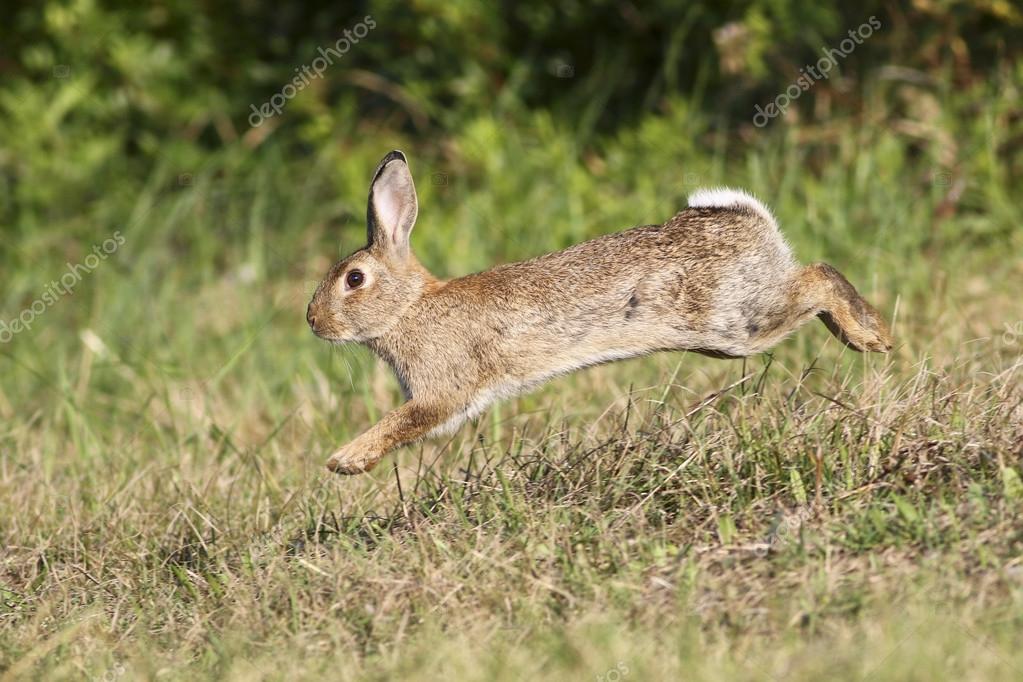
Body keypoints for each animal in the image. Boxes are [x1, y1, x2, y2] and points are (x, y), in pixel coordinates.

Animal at [307, 150, 891, 474]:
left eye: (354, 280)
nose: (313, 322)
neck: (409, 307)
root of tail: (748, 221)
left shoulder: (441, 390)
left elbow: (402, 422)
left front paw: (344, 461)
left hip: (736, 322)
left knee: (817, 277)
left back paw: (871, 337)